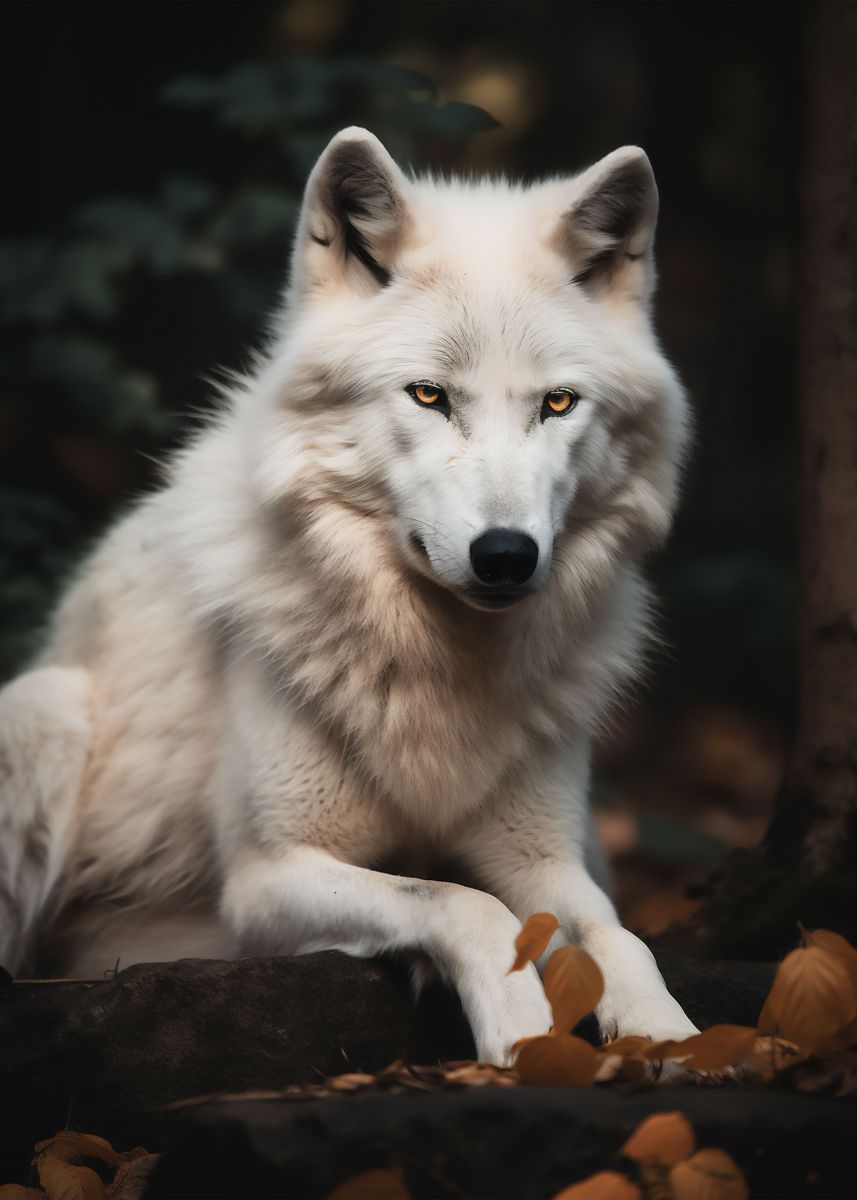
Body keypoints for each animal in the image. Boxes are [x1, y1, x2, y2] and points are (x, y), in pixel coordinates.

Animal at [0, 128, 699, 1062]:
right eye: (429, 395)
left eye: (557, 403)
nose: (506, 555)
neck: (436, 673)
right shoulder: (265, 880)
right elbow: (457, 900)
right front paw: (519, 1029)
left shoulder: (546, 856)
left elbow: (613, 933)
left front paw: (669, 1034)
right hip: (45, 715)